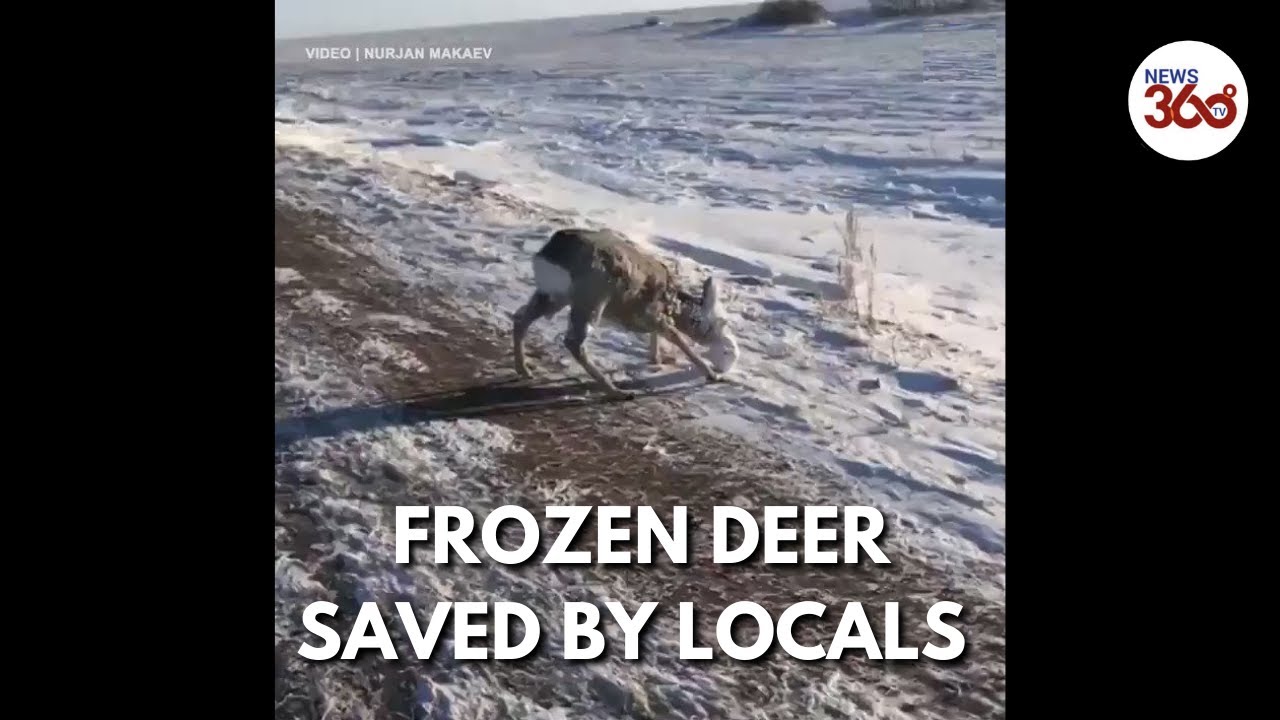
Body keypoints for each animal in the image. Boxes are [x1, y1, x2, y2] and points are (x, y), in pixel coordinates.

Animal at [512, 227, 741, 400]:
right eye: (721, 322)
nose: (731, 350)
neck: (673, 303)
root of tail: (551, 252)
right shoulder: (651, 314)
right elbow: (677, 337)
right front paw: (712, 375)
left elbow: (660, 336)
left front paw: (655, 358)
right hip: (593, 298)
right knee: (573, 342)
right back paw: (616, 392)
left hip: (554, 296)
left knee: (521, 317)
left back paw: (524, 369)